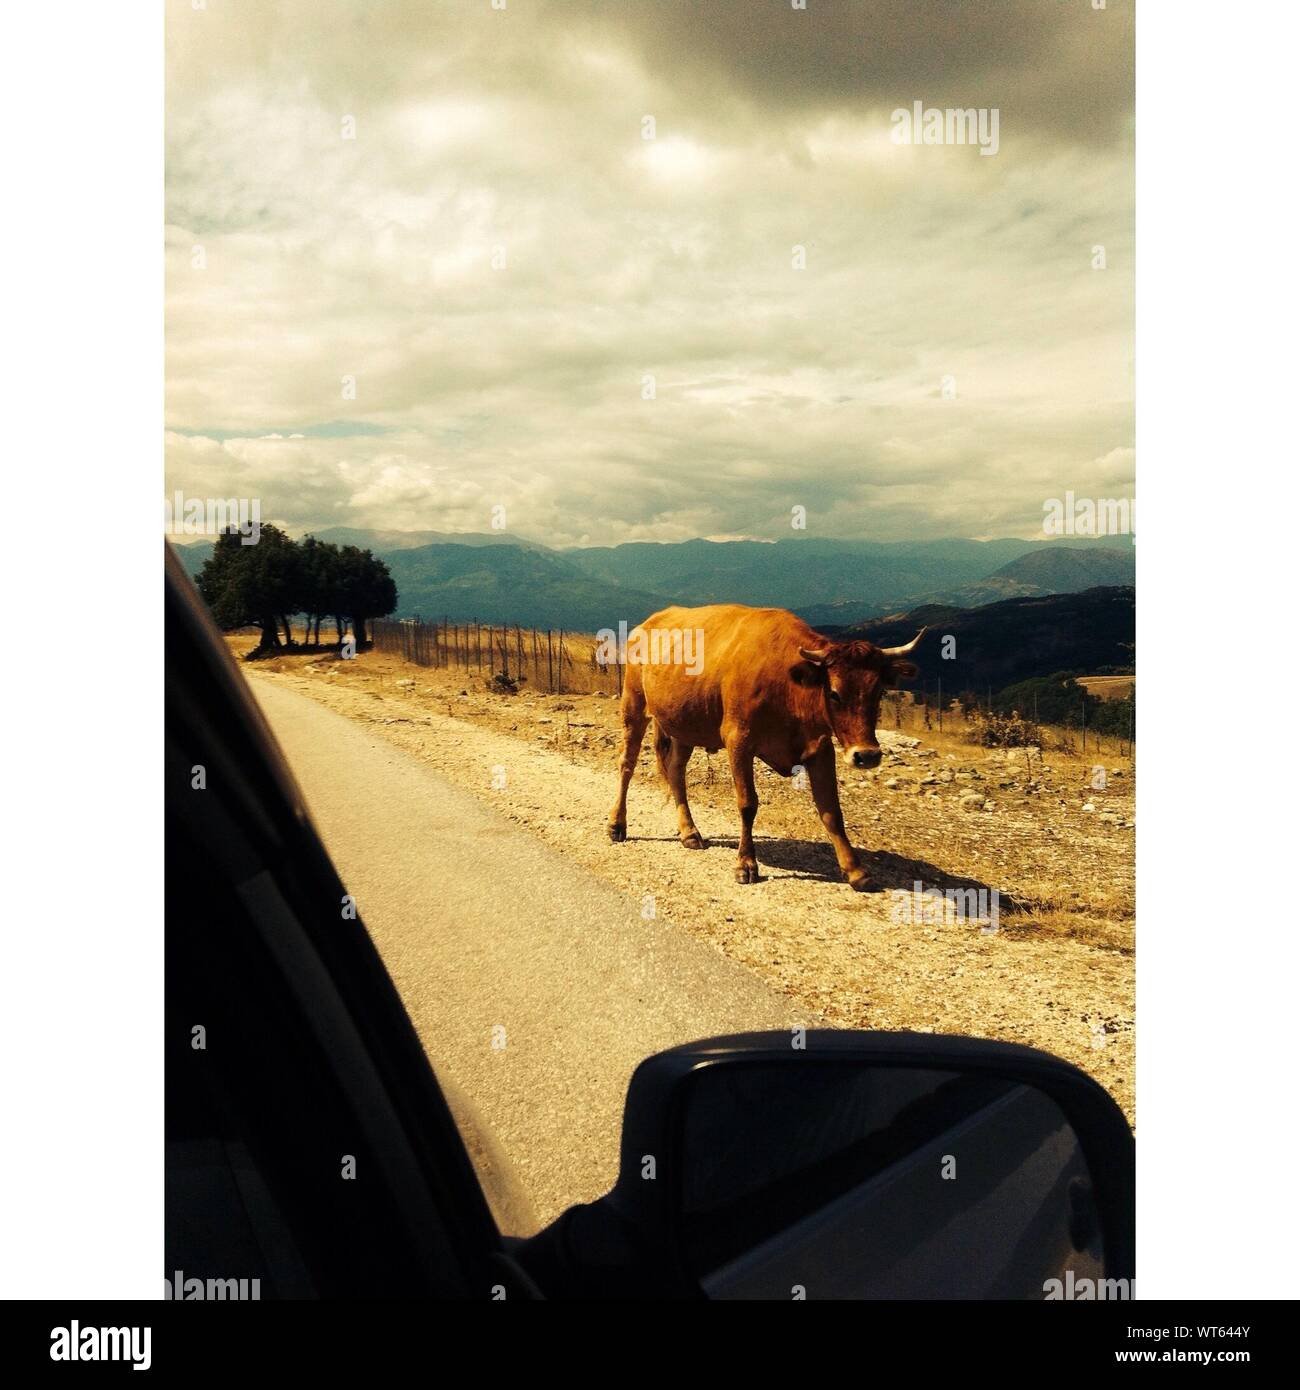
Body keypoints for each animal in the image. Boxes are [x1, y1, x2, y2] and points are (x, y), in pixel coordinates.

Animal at [607, 604, 926, 890]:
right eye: (834, 693)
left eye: (879, 691)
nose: (867, 755)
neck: (788, 684)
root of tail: (646, 624)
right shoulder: (738, 740)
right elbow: (747, 804)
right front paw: (746, 864)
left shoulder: (820, 748)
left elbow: (832, 811)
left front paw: (855, 870)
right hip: (633, 705)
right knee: (627, 763)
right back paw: (617, 825)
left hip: (684, 724)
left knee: (676, 771)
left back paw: (689, 832)